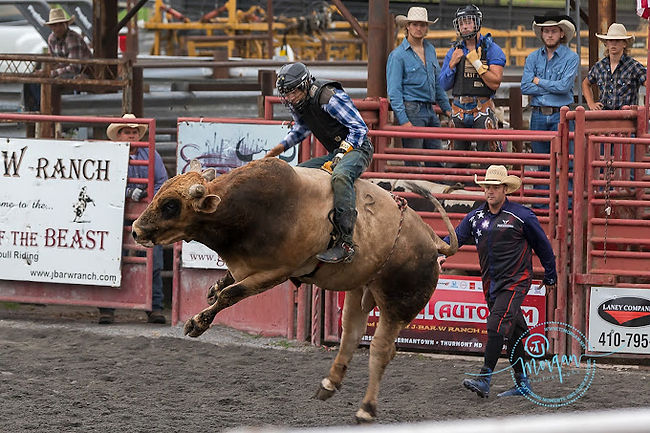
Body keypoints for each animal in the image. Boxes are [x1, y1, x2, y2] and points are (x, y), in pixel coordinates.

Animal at [132, 157, 458, 423]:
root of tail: (433, 241)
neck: (249, 211)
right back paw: (329, 384)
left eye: (171, 205)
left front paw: (197, 323)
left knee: (380, 349)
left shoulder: (276, 273)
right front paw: (212, 289)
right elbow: (224, 286)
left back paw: (366, 409)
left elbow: (230, 295)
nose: (135, 230)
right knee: (351, 336)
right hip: (358, 293)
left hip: (397, 303)